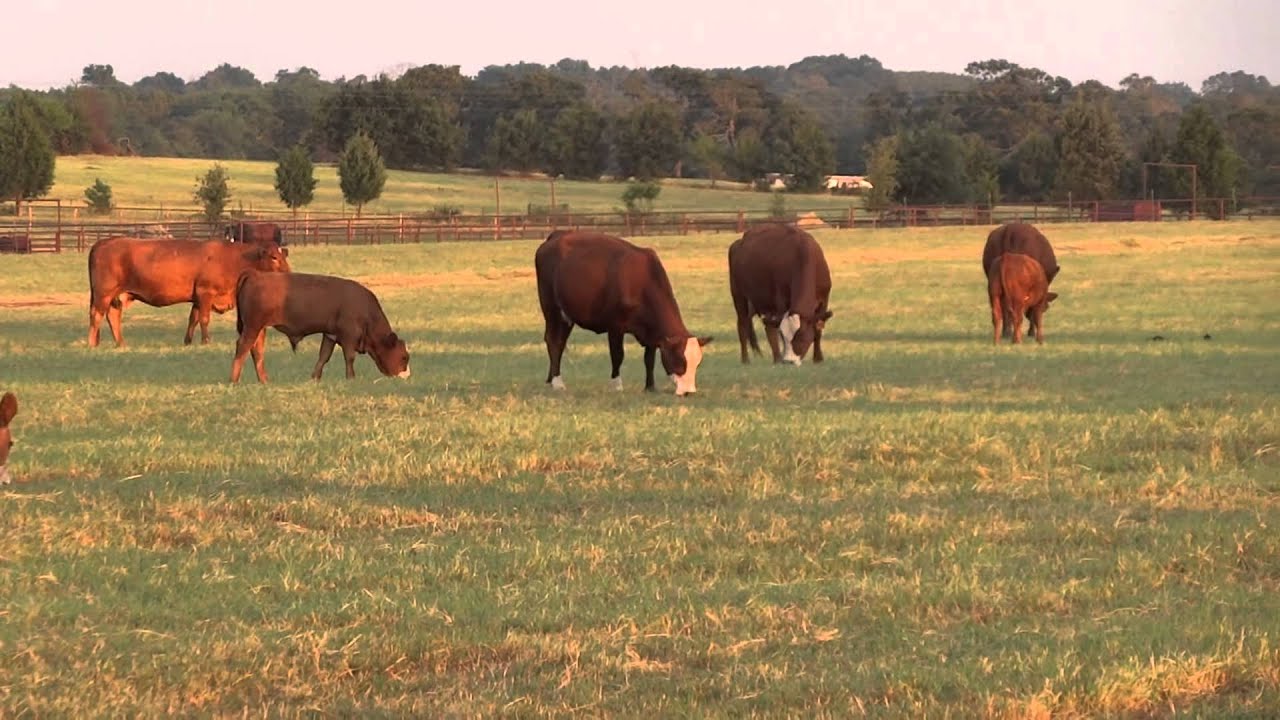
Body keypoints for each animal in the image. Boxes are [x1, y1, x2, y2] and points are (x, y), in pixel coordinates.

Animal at [88, 237, 291, 348]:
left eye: (284, 255)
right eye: (274, 257)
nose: (288, 273)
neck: (235, 260)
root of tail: (104, 242)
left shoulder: (197, 298)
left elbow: (193, 319)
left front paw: (187, 341)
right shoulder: (205, 293)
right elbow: (204, 319)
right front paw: (206, 340)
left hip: (115, 297)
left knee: (113, 316)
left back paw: (121, 343)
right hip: (103, 294)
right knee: (96, 315)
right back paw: (92, 343)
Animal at [230, 270, 410, 384]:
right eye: (404, 357)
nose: (407, 375)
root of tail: (256, 274)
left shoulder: (330, 335)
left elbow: (323, 356)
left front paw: (314, 378)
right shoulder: (349, 336)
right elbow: (349, 357)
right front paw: (351, 378)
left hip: (259, 329)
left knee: (256, 351)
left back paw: (264, 380)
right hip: (253, 327)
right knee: (243, 347)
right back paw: (234, 380)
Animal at [535, 230, 712, 396]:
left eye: (697, 363)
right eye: (680, 361)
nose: (689, 392)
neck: (641, 281)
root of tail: (557, 235)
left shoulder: (652, 332)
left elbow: (649, 359)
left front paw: (650, 387)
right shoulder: (615, 327)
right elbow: (618, 355)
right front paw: (617, 385)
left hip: (566, 315)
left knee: (560, 342)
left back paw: (550, 379)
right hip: (551, 308)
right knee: (553, 341)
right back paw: (557, 383)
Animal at [728, 223, 833, 365]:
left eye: (801, 336)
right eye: (783, 337)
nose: (789, 361)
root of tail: (738, 243)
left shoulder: (824, 299)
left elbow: (818, 330)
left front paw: (818, 358)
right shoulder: (781, 301)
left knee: (768, 327)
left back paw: (776, 358)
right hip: (739, 296)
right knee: (743, 325)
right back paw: (746, 360)